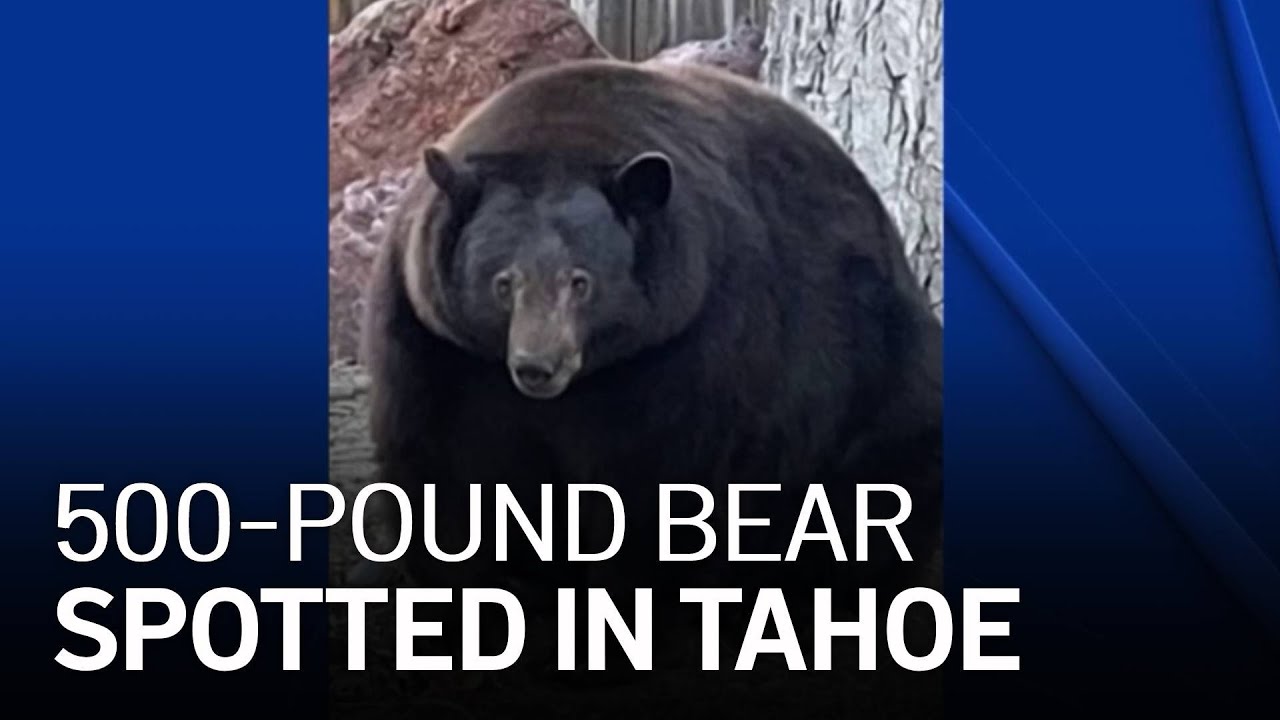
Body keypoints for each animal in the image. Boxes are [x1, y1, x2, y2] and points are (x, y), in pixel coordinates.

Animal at [357, 59, 942, 681]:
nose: (538, 366)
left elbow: (659, 494)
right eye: (503, 282)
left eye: (581, 281)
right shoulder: (437, 346)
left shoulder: (691, 344)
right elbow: (443, 476)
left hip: (879, 387)